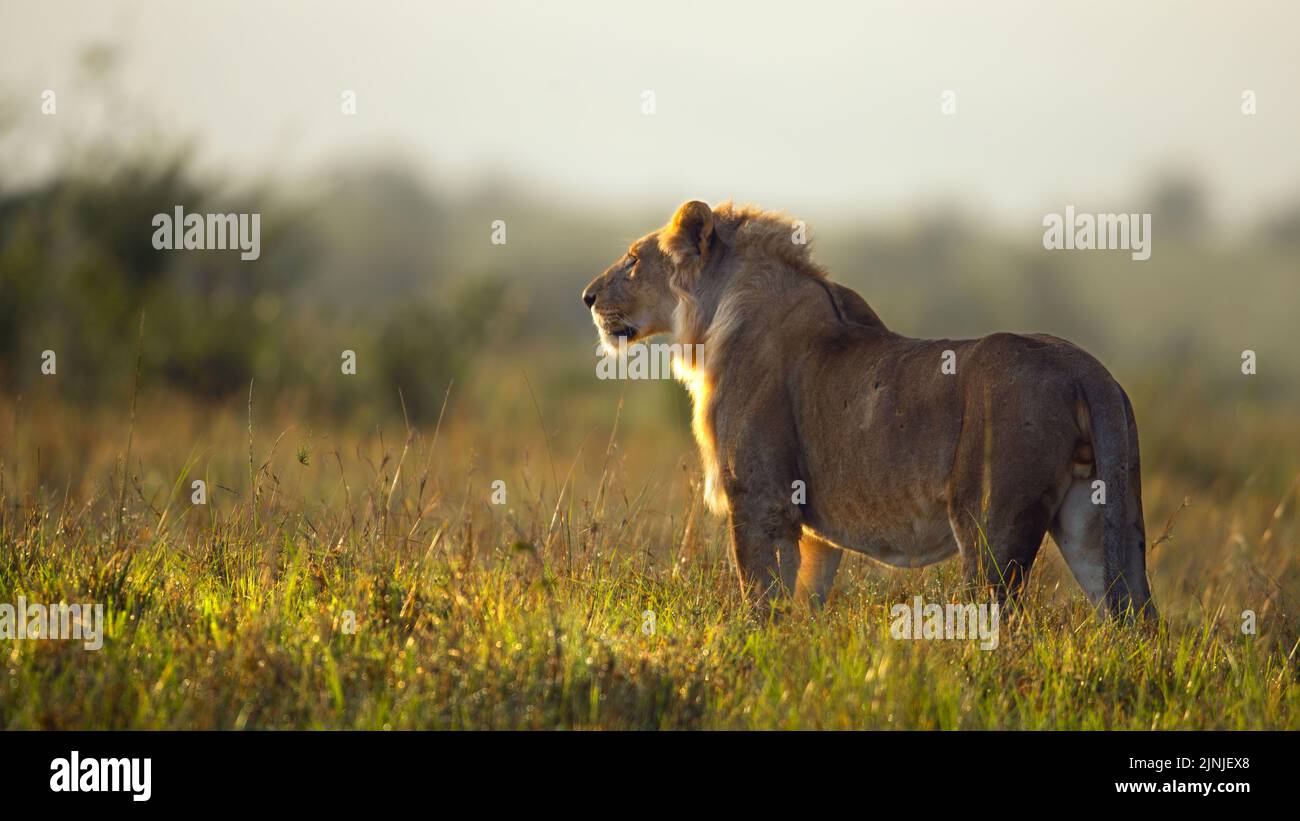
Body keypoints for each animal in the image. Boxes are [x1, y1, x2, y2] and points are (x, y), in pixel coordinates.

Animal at [582, 200, 1155, 620]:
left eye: (633, 259)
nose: (586, 296)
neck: (713, 320)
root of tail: (1086, 368)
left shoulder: (762, 499)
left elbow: (761, 602)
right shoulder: (811, 529)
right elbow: (805, 603)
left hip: (993, 526)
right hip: (1099, 515)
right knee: (1133, 618)